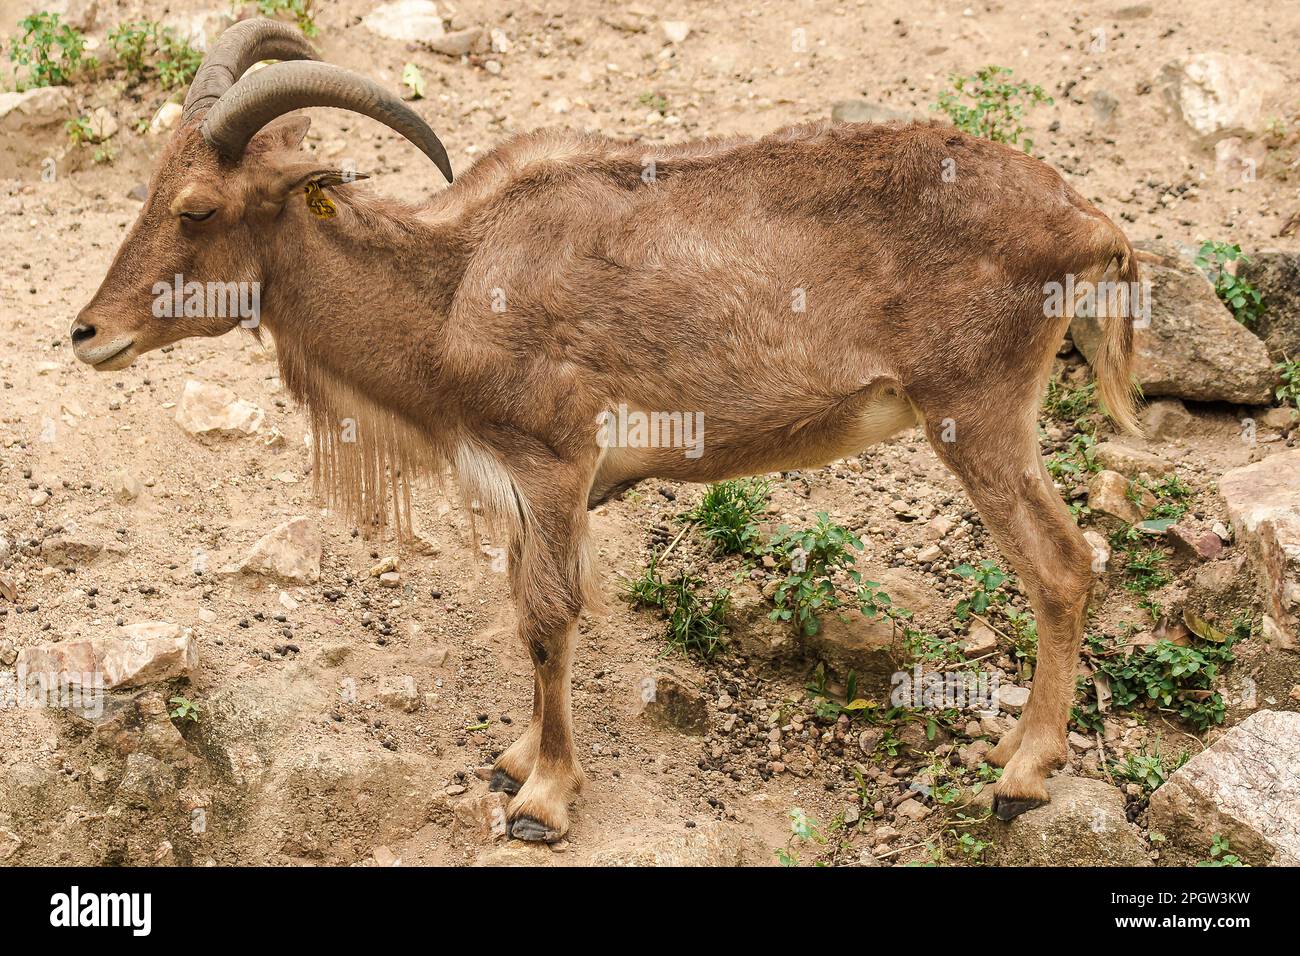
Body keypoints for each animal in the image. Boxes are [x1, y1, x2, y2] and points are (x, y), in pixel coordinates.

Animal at [71, 19, 1141, 843]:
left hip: (978, 411)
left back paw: (1023, 776)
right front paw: (515, 760)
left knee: (1061, 564)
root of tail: (1090, 223)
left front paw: (543, 801)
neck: (452, 288)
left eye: (197, 208)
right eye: (151, 187)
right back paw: (1010, 746)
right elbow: (523, 607)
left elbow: (548, 619)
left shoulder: (554, 464)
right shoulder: (525, 489)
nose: (88, 333)